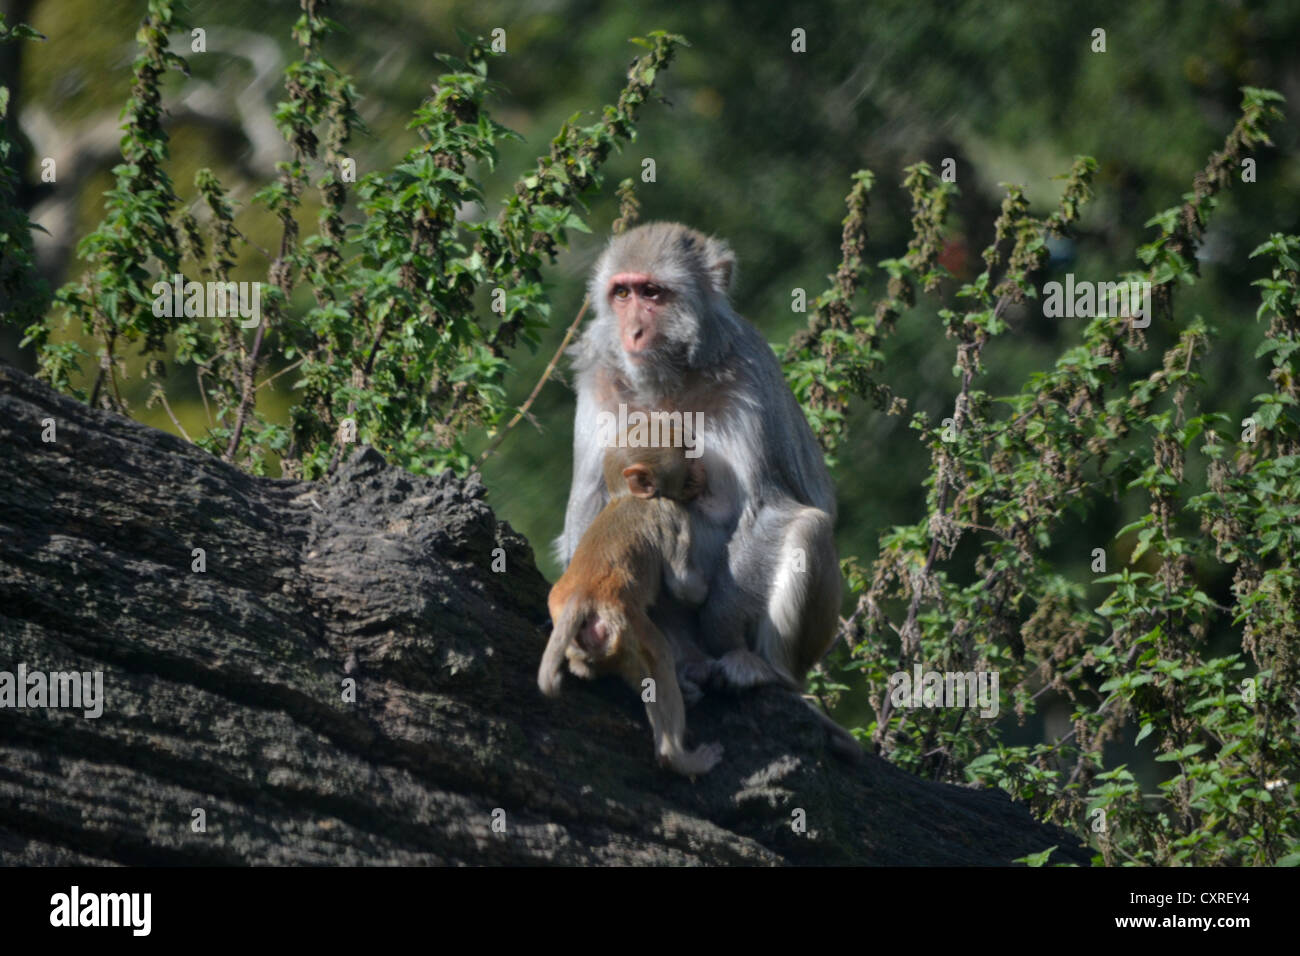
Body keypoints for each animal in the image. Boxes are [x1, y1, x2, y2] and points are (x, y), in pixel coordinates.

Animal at [539, 436, 724, 777]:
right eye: (688, 458)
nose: (702, 468)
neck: (625, 497)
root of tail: (580, 597)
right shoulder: (672, 513)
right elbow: (683, 586)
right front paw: (705, 585)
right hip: (626, 627)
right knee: (660, 660)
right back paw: (678, 758)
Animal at [555, 221, 858, 758]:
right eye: (622, 294)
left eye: (653, 293)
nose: (633, 332)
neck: (669, 380)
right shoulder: (600, 381)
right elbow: (589, 512)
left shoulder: (746, 376)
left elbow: (766, 506)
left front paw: (722, 639)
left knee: (807, 528)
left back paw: (765, 670)